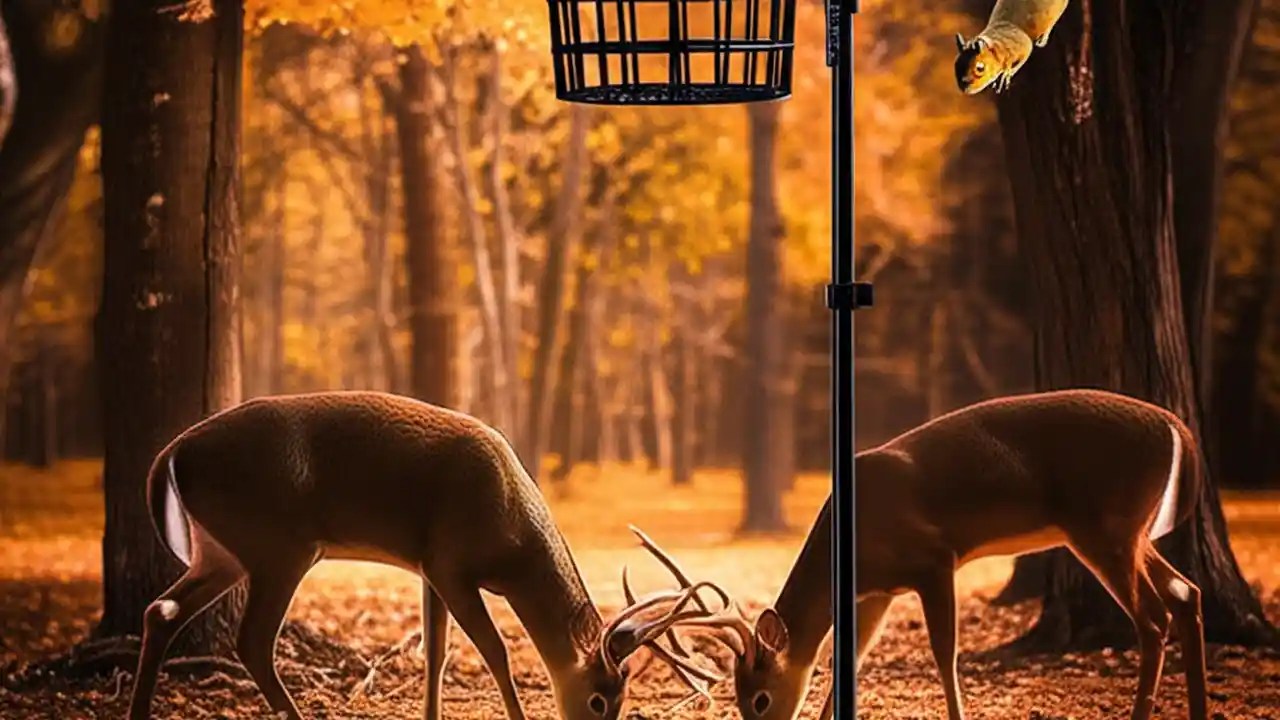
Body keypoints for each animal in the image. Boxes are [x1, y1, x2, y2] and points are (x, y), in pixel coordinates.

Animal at [125, 391, 730, 720]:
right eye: (601, 699)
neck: (512, 539)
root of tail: (169, 454)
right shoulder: (451, 562)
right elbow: (494, 650)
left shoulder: (427, 567)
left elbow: (435, 652)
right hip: (280, 546)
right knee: (251, 639)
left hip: (222, 552)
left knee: (161, 610)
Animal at [674, 389, 1210, 720]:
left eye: (761, 699)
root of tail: (1174, 425)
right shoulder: (877, 592)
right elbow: (850, 659)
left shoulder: (933, 559)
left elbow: (944, 652)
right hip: (1131, 533)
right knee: (1187, 593)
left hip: (1105, 527)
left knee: (1154, 618)